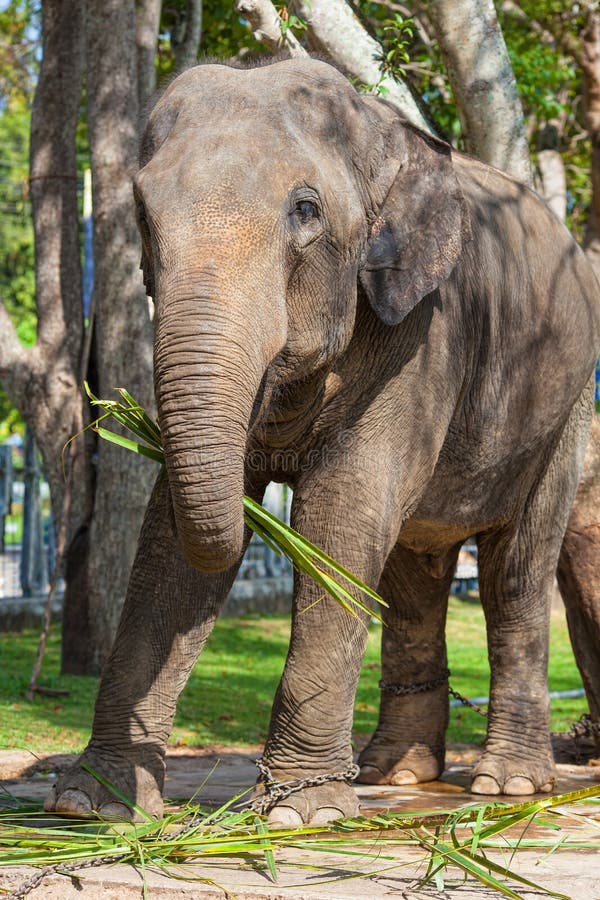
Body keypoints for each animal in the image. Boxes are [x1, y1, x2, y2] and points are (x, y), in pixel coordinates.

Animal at [45, 56, 600, 827]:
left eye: (305, 210)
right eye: (142, 213)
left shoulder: (422, 332)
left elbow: (340, 513)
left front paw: (300, 812)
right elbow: (167, 538)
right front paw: (94, 803)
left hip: (563, 410)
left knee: (515, 571)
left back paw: (507, 784)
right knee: (411, 577)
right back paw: (396, 774)